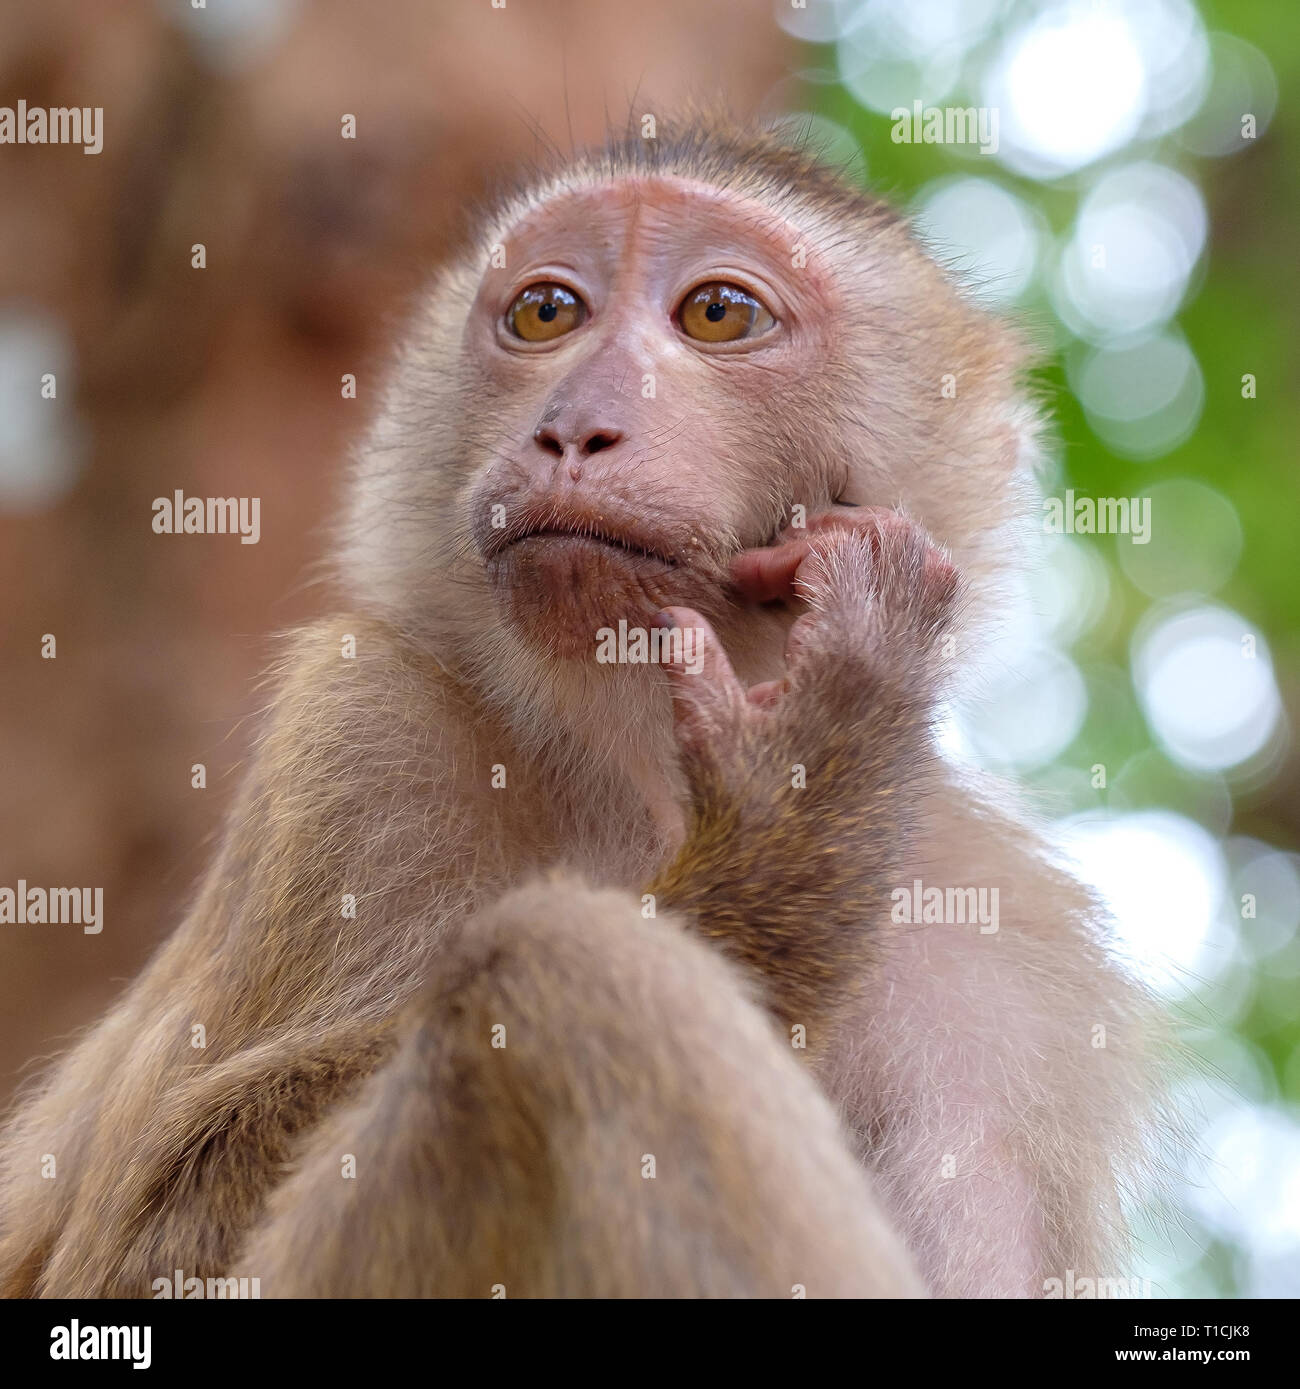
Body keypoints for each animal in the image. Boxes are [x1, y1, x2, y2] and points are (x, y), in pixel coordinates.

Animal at [0, 116, 1159, 1299]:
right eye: (547, 312)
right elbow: (142, 1255)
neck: (631, 775)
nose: (573, 430)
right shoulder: (359, 726)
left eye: (718, 312)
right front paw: (802, 803)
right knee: (558, 961)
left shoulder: (1010, 972)